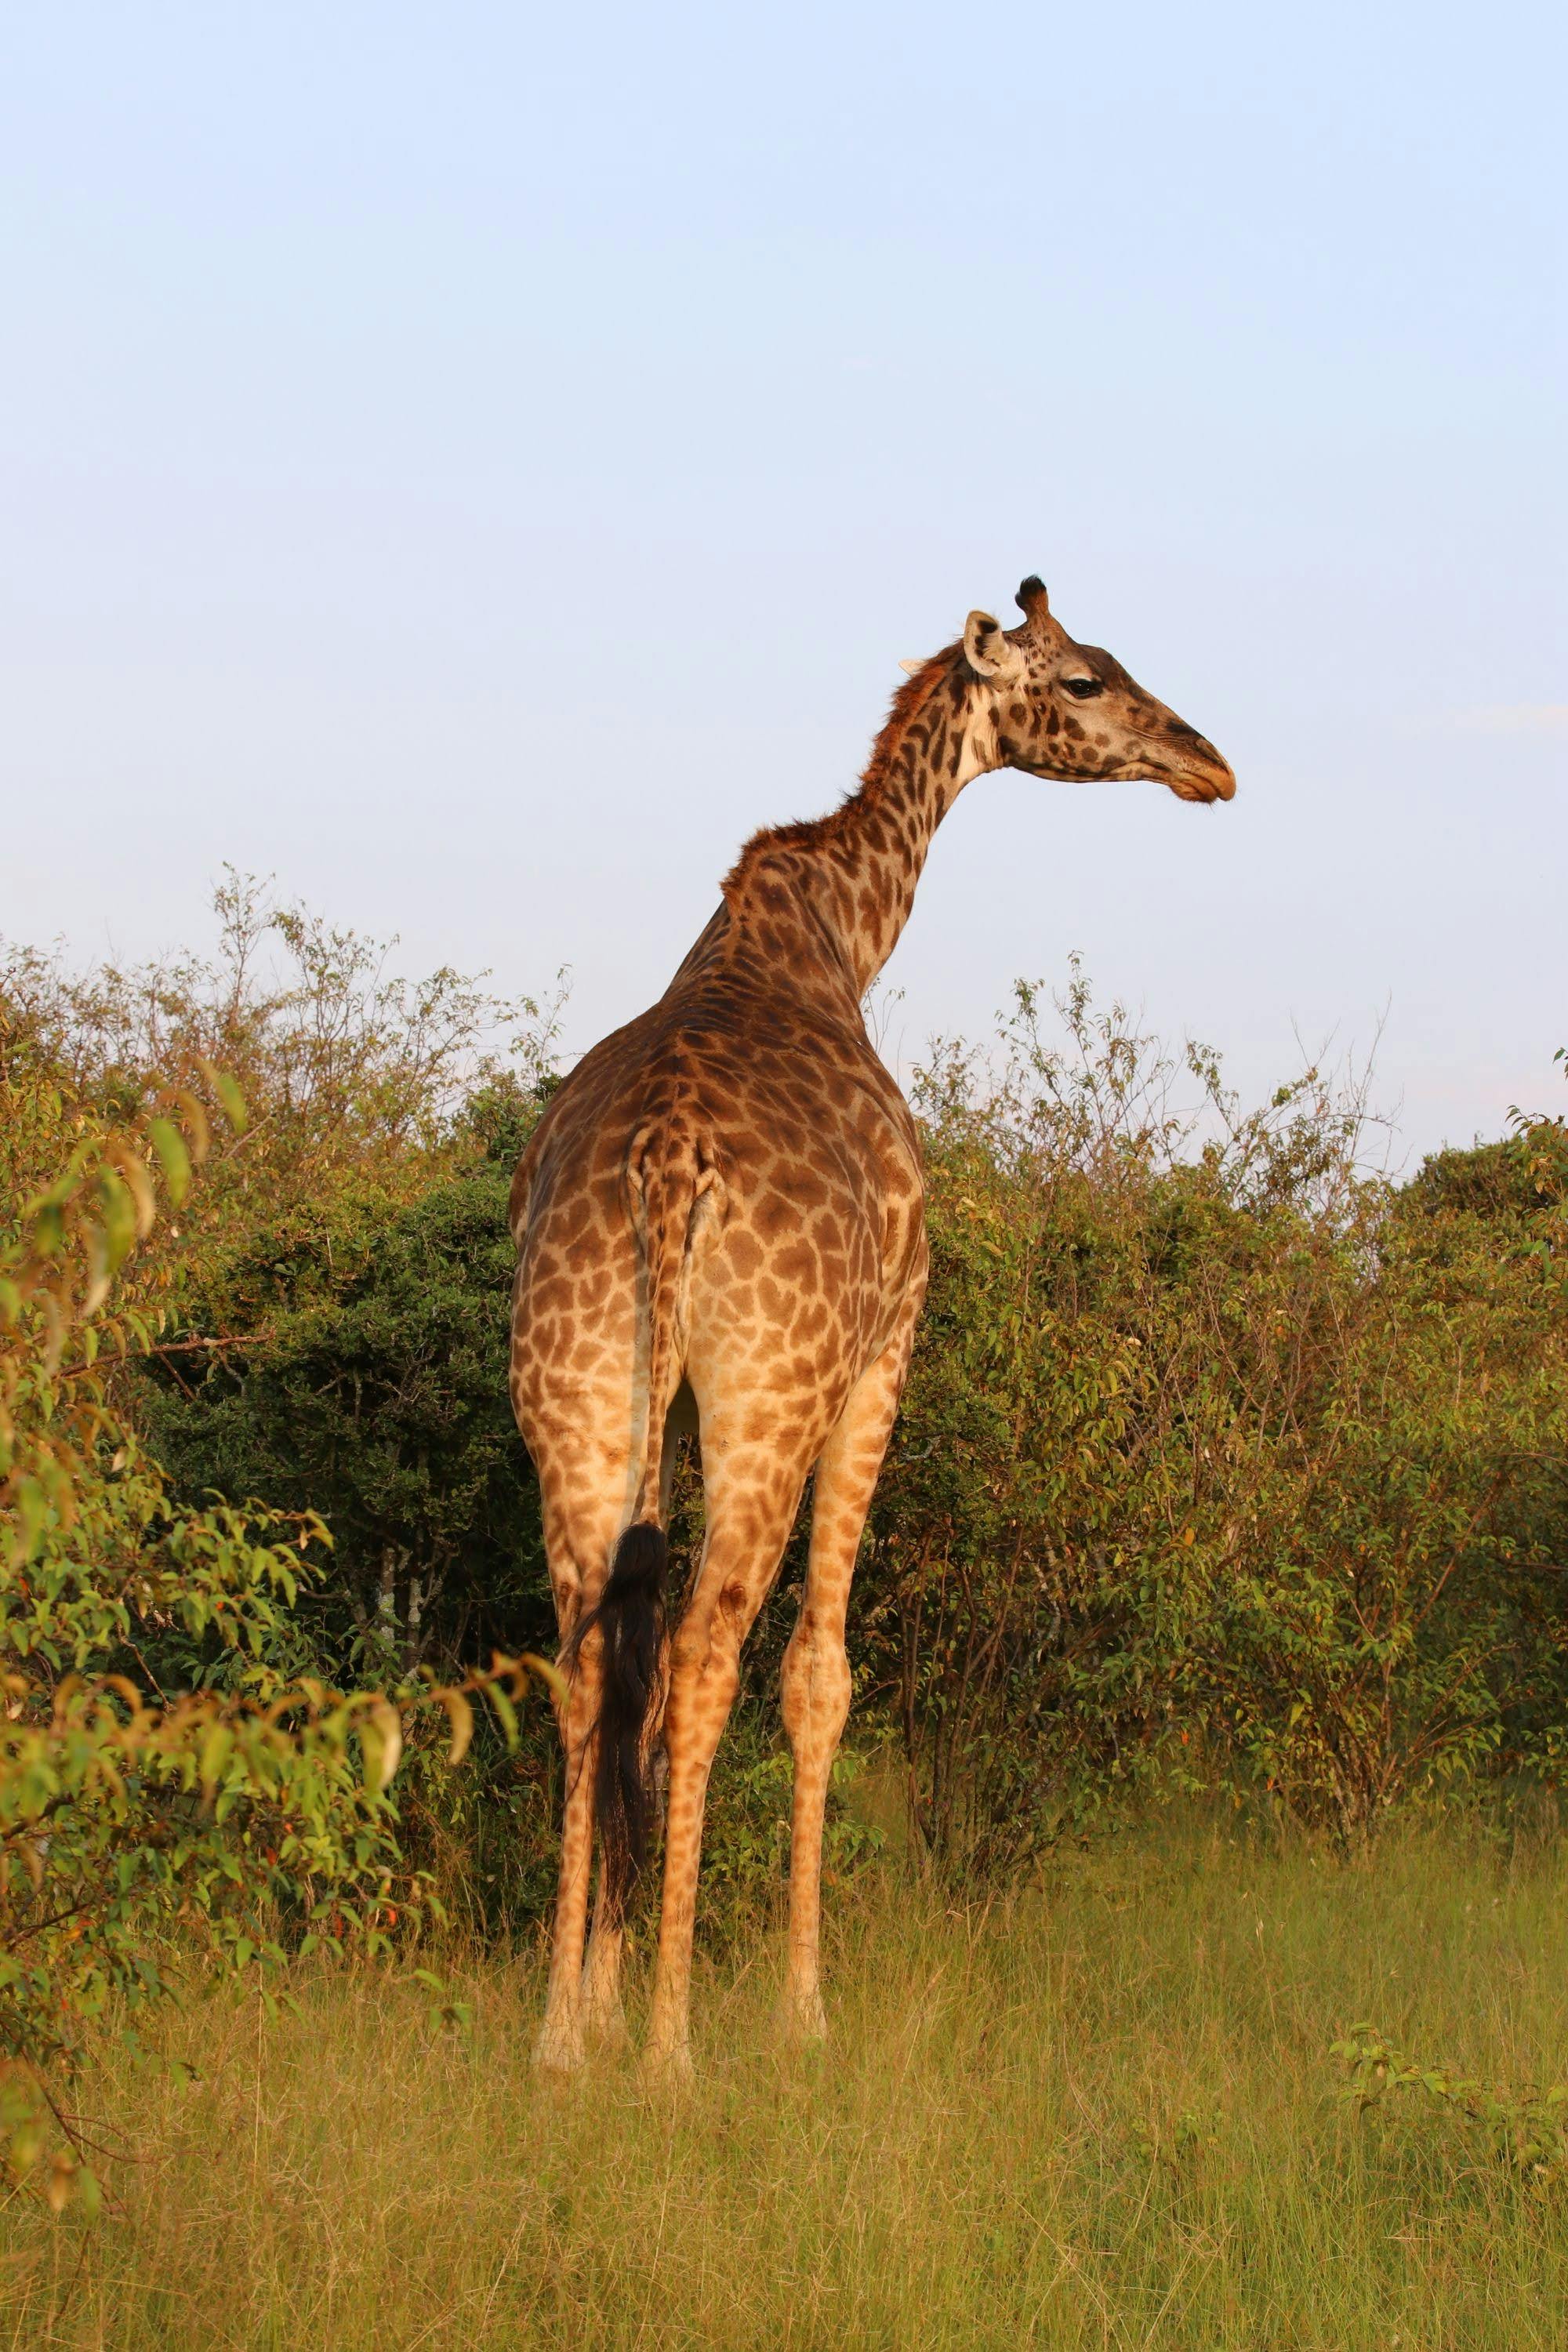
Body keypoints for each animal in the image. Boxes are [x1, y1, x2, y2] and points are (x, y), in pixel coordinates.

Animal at [508, 574, 1234, 2075]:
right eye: (1083, 679)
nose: (1209, 762)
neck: (837, 933)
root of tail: (669, 1164)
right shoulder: (885, 1355)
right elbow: (822, 1679)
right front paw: (803, 2017)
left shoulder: (664, 1409)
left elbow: (635, 1669)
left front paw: (598, 2002)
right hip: (774, 1398)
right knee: (714, 1657)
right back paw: (673, 2053)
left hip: (576, 1389)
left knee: (589, 1660)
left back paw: (560, 2043)